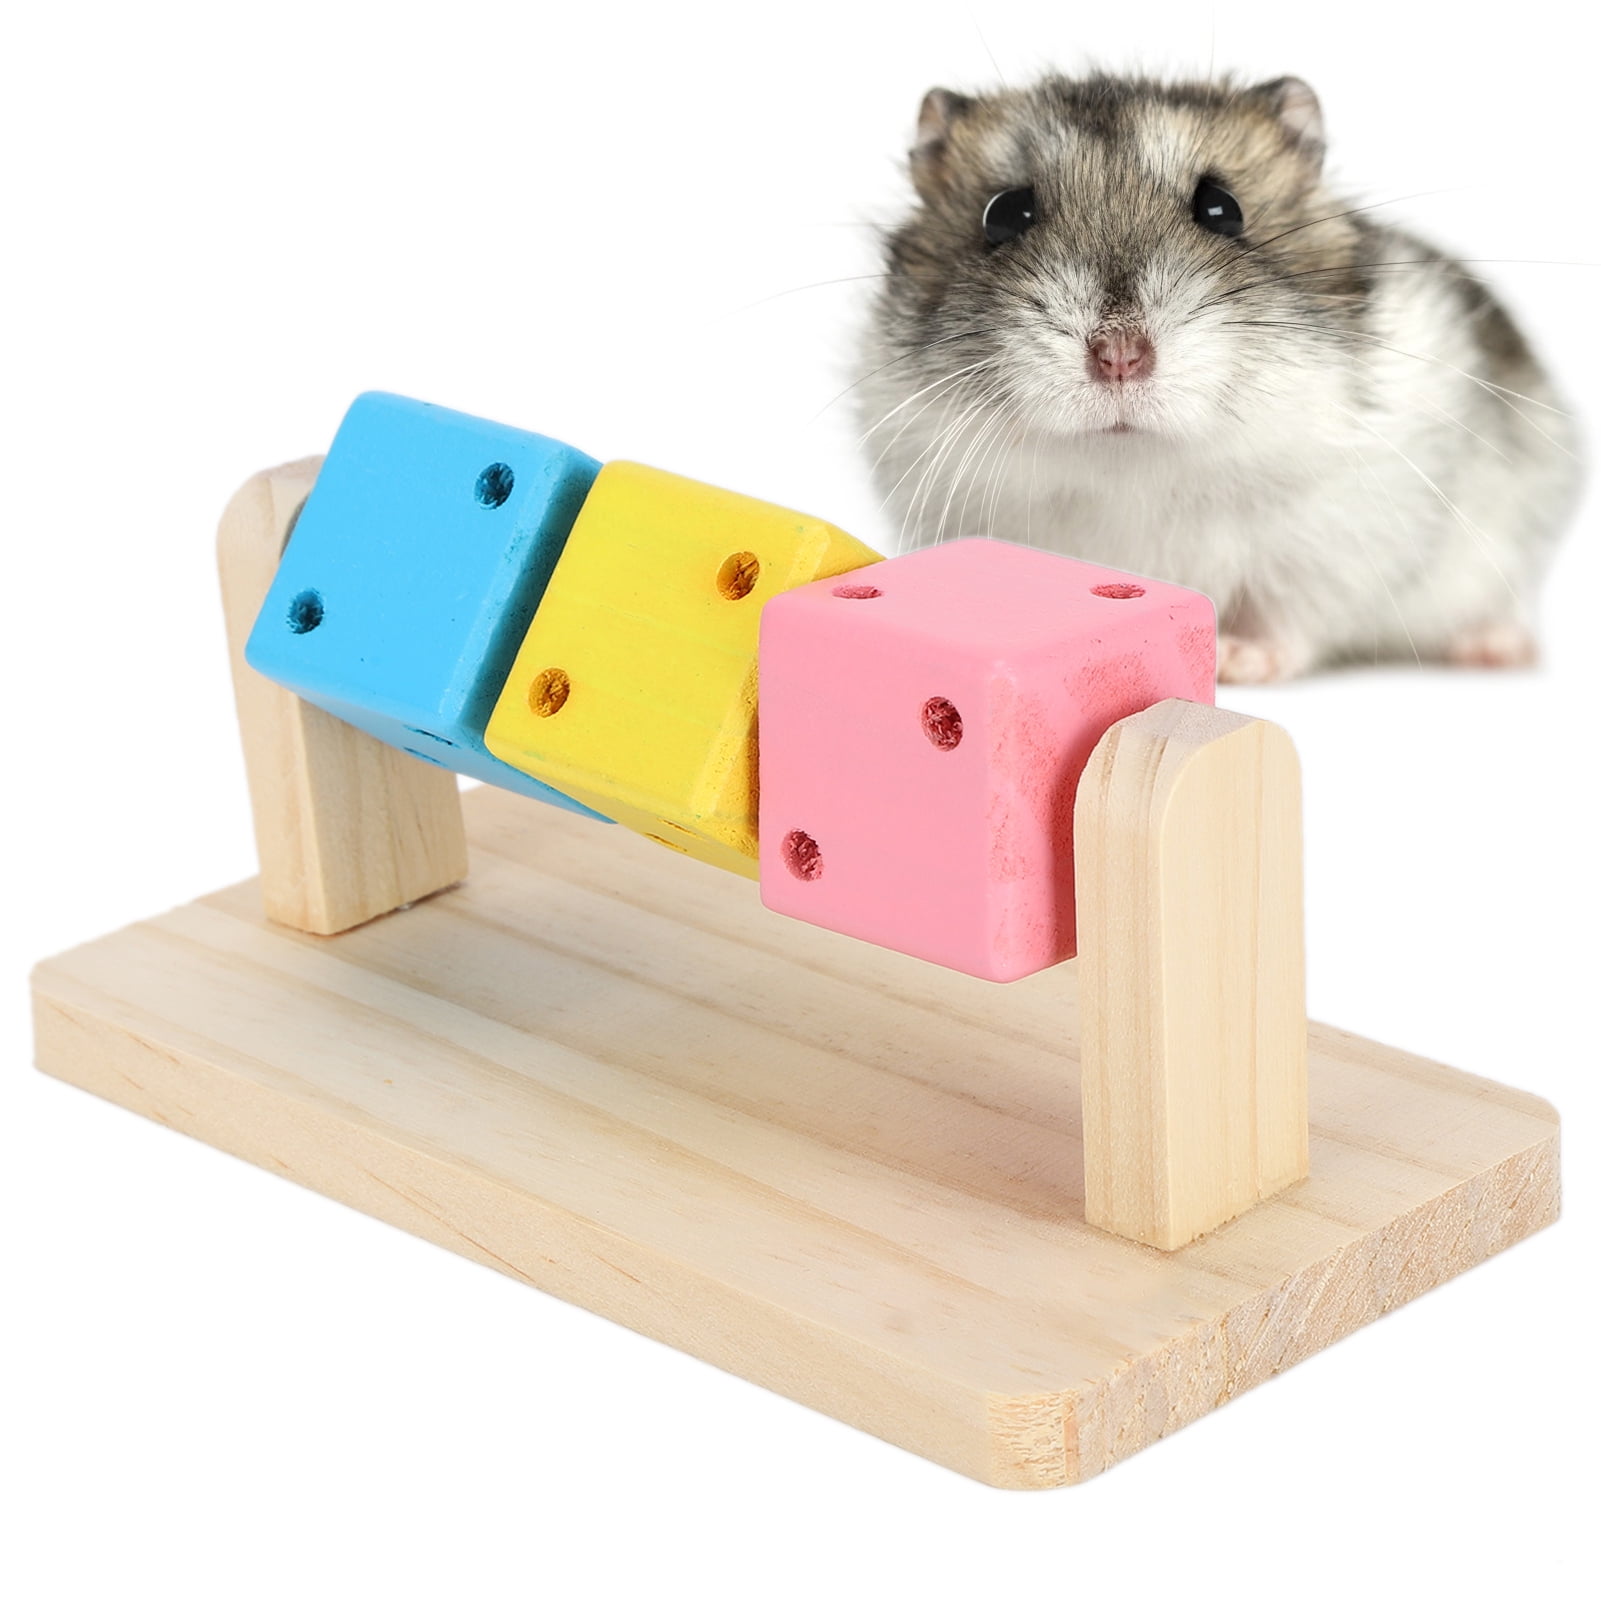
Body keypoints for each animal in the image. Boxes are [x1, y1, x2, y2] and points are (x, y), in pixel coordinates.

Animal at [856, 74, 1582, 681]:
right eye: (1004, 214)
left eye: (1222, 209)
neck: (1134, 467)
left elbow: (1286, 611)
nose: (1119, 356)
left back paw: (1496, 650)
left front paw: (1233, 660)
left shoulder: (1337, 540)